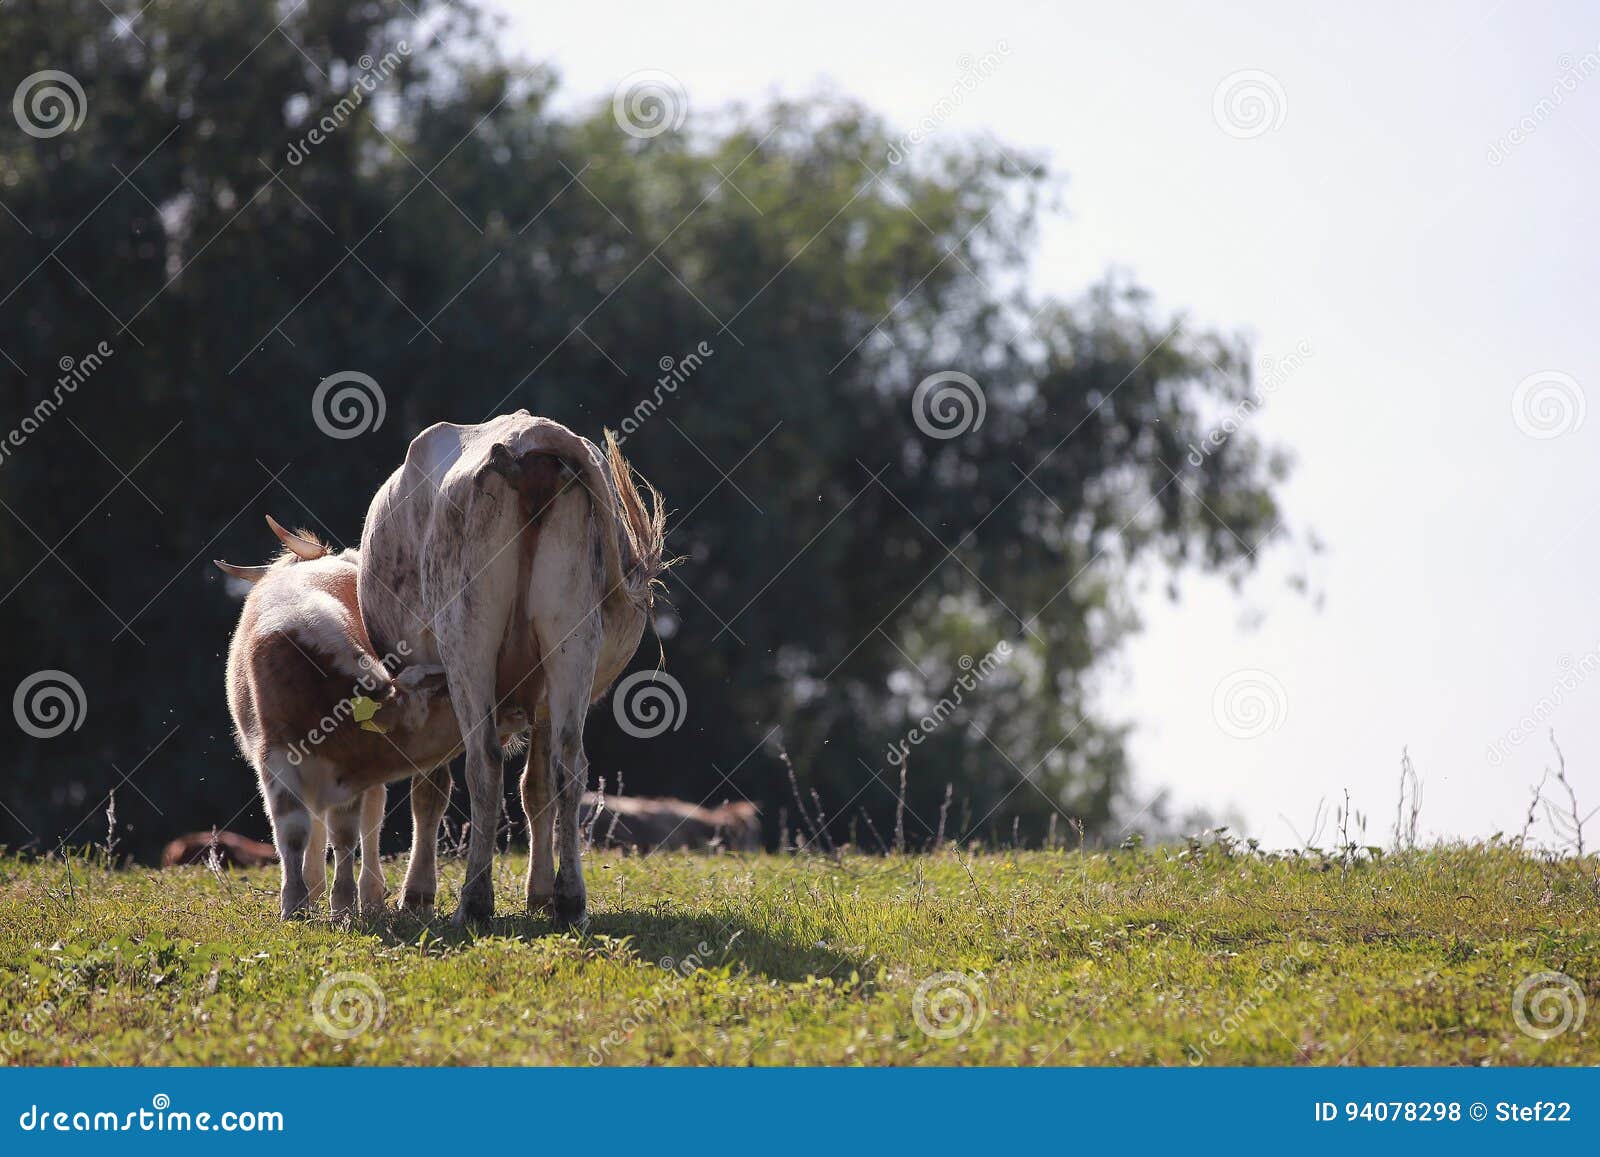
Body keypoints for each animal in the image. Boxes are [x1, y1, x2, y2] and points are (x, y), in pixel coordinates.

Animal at [216, 516, 529, 919]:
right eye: (441, 689)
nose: (510, 704)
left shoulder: (351, 771)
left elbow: (346, 832)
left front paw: (345, 903)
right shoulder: (276, 761)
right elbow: (293, 831)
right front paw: (295, 904)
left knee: (368, 821)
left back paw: (369, 892)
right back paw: (314, 886)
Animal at [358, 413, 664, 928]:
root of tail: (533, 435)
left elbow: (431, 789)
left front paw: (418, 893)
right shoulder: (541, 703)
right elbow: (537, 788)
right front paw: (539, 892)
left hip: (468, 641)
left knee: (483, 765)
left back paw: (474, 902)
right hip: (572, 641)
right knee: (569, 768)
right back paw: (570, 901)